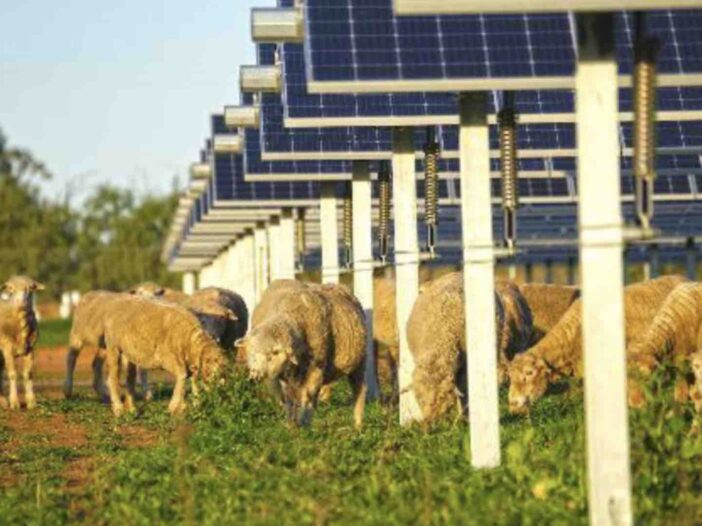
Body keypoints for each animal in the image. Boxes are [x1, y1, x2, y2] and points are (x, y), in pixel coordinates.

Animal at [0, 276, 44, 410]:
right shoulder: (7, 348)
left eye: (31, 288)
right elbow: (12, 374)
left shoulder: (30, 349)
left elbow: (28, 374)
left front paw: (31, 402)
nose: (21, 302)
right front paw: (14, 403)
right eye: (10, 288)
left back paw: (2, 401)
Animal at [239, 279, 369, 427]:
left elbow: (308, 395)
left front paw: (304, 423)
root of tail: (335, 284)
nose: (255, 376)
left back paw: (357, 424)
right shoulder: (286, 377)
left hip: (359, 363)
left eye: (275, 352)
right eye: (252, 351)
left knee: (359, 390)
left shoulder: (316, 368)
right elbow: (289, 400)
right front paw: (291, 425)